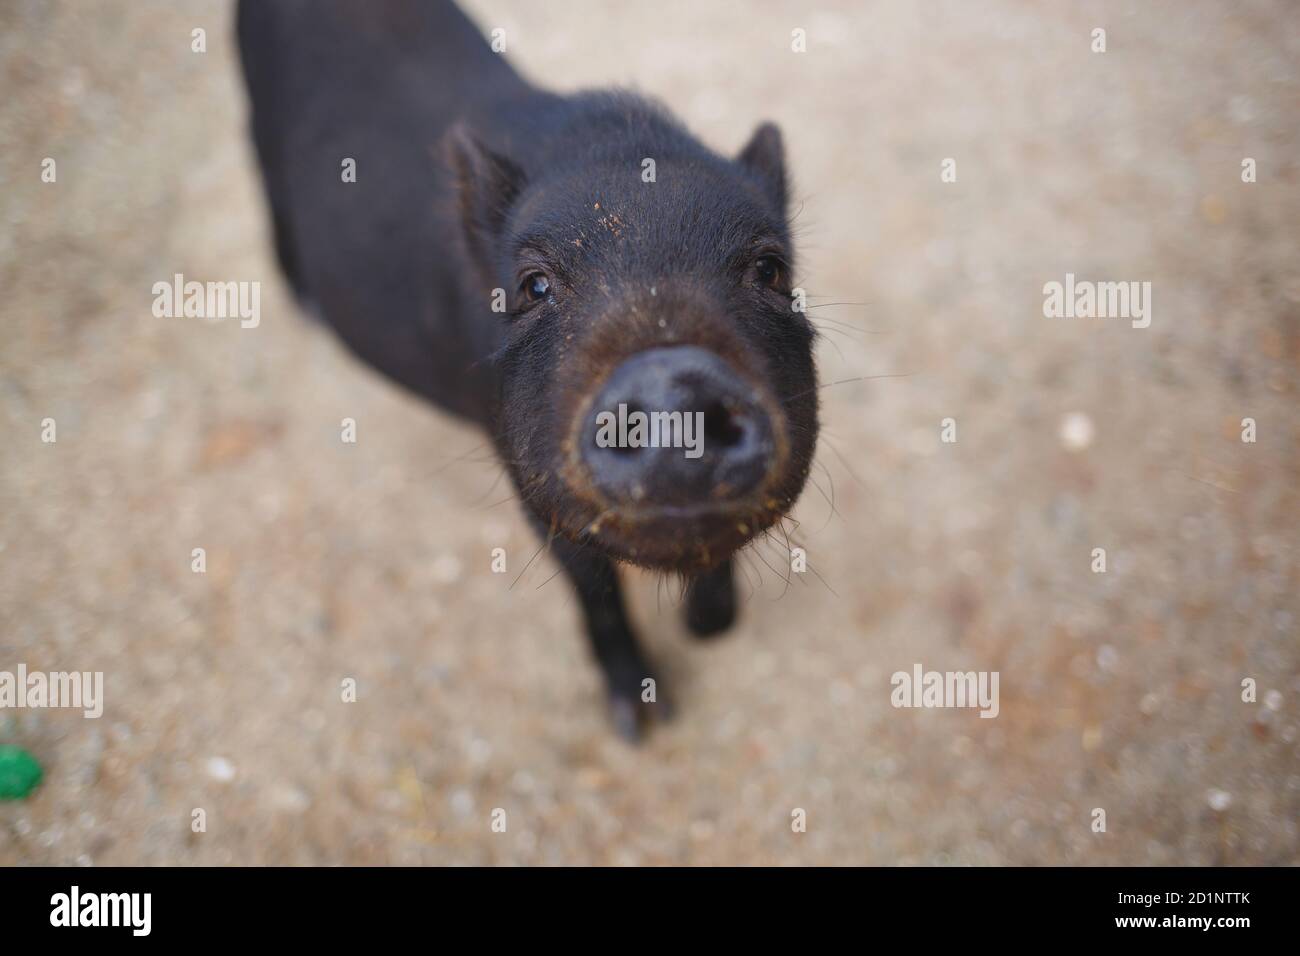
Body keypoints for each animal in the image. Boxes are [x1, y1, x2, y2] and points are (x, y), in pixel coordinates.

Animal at [237, 0, 818, 738]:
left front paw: (711, 630)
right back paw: (306, 307)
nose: (673, 385)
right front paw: (638, 726)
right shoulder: (527, 483)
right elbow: (595, 591)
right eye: (534, 285)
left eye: (770, 269)